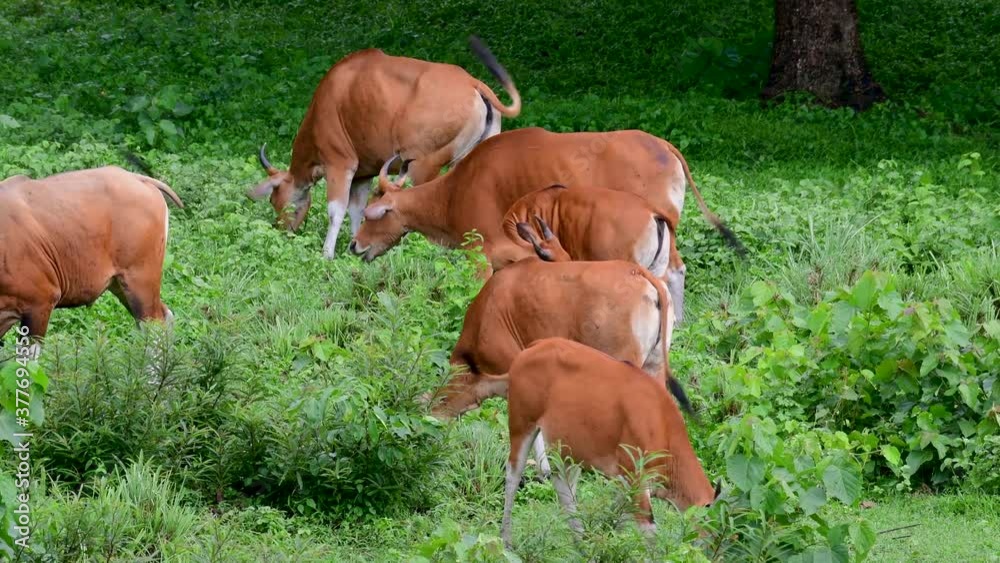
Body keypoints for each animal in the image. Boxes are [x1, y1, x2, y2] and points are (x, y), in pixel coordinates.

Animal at [0, 166, 183, 352]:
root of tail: (139, 178)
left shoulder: (40, 304)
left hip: (140, 279)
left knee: (154, 327)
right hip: (120, 284)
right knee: (162, 318)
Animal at [248, 37, 520, 259]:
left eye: (273, 199)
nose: (281, 228)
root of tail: (475, 84)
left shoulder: (340, 163)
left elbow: (336, 210)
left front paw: (327, 254)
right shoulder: (363, 174)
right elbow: (357, 210)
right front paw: (353, 245)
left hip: (423, 164)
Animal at [501, 338, 719, 547]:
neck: (660, 422)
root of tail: (534, 346)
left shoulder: (627, 483)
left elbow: (618, 515)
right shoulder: (635, 478)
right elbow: (649, 532)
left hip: (567, 450)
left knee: (563, 484)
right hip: (522, 425)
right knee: (513, 476)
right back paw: (506, 541)